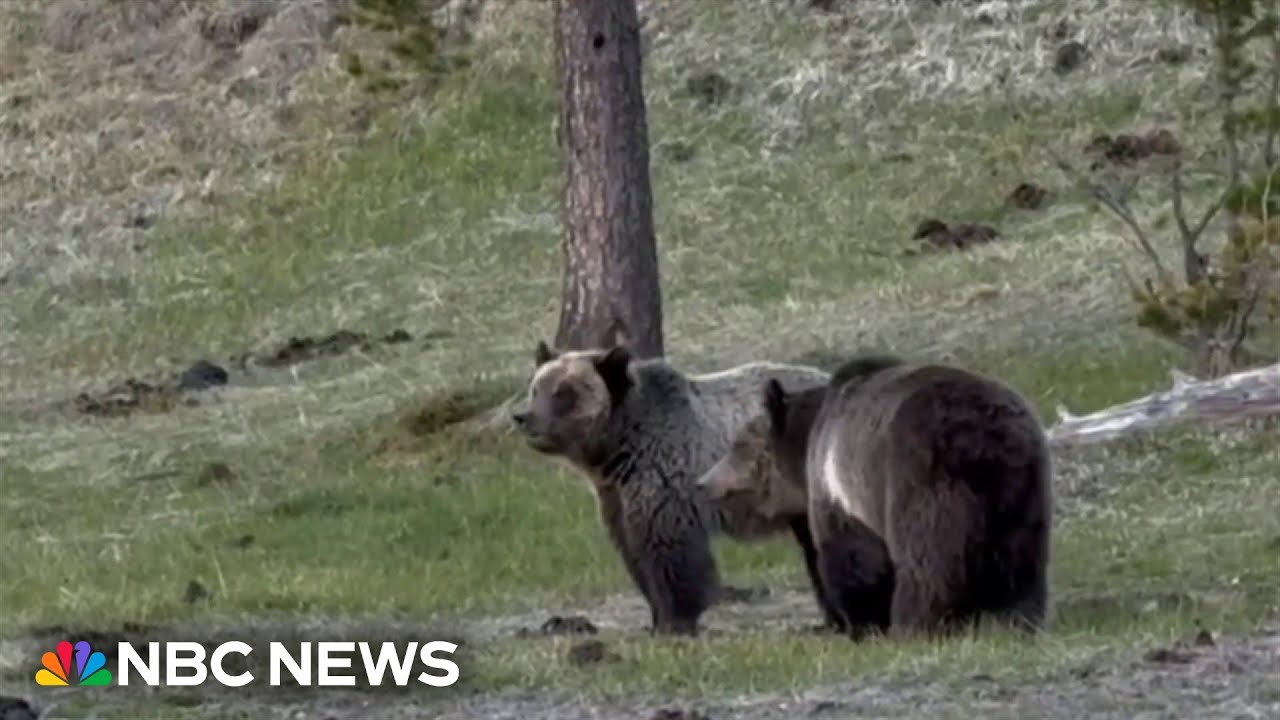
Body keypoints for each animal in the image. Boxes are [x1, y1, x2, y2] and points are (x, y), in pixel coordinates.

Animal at [510, 340, 835, 635]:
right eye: (536, 388)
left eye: (563, 393)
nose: (524, 417)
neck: (619, 448)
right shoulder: (616, 495)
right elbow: (634, 552)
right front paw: (655, 620)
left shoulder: (664, 478)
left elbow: (670, 553)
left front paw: (675, 621)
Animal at [698, 353, 1053, 638]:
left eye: (738, 444)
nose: (703, 483)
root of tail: (984, 437)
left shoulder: (841, 490)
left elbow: (850, 557)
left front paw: (861, 623)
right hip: (1022, 486)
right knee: (1022, 559)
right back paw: (1016, 617)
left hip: (920, 478)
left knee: (926, 560)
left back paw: (915, 623)